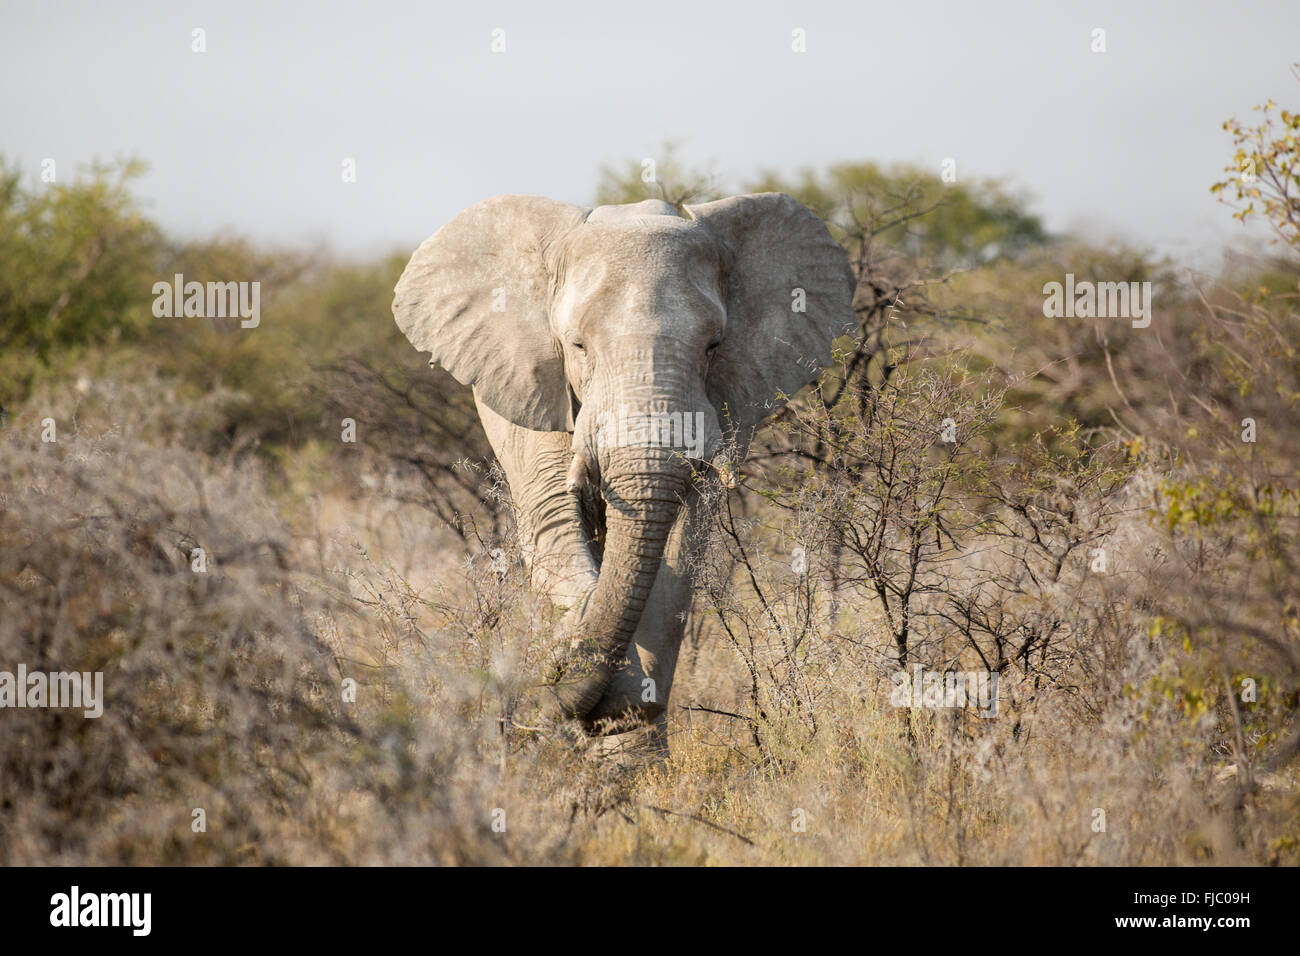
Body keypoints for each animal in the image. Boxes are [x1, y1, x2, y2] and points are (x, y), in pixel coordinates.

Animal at [392, 192, 856, 759]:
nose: (538, 687)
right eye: (577, 346)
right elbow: (553, 512)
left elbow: (683, 538)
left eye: (713, 346)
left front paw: (628, 732)